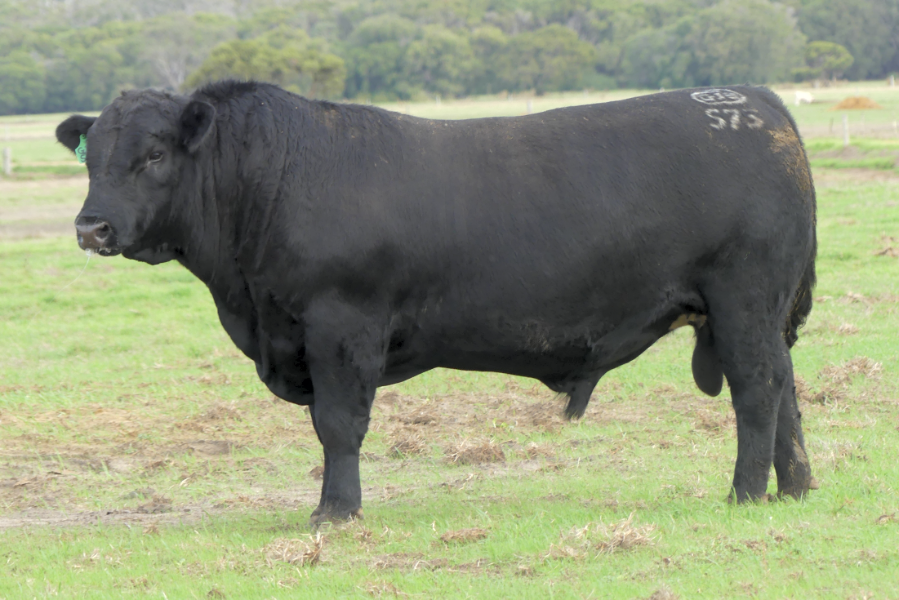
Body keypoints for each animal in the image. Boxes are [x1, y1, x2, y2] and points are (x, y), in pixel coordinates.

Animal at [56, 82, 817, 524]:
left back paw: (745, 492)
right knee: (784, 389)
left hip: (742, 297)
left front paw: (336, 513)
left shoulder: (341, 326)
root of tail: (752, 102)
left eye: (155, 154)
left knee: (757, 389)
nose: (91, 227)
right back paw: (795, 487)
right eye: (93, 154)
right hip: (760, 314)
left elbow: (338, 425)